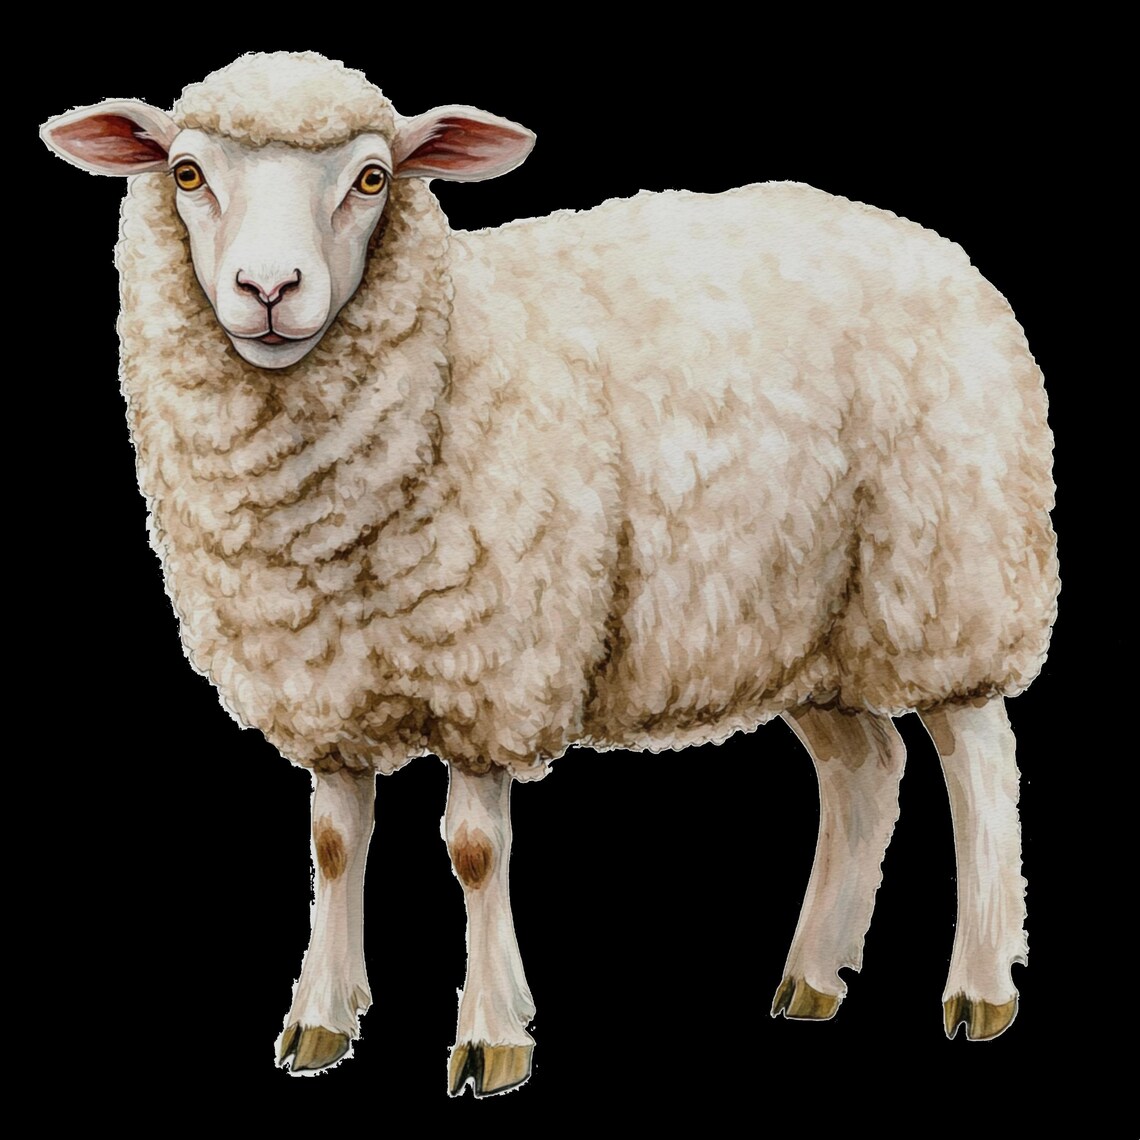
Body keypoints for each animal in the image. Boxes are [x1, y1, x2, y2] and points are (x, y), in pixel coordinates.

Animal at [40, 51, 1058, 1095]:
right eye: (186, 174)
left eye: (373, 179)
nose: (269, 287)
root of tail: (936, 249)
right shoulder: (327, 680)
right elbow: (331, 845)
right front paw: (318, 1022)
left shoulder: (494, 667)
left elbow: (476, 853)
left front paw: (492, 1040)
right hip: (796, 622)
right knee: (864, 770)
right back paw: (812, 978)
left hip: (951, 580)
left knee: (979, 768)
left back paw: (981, 989)